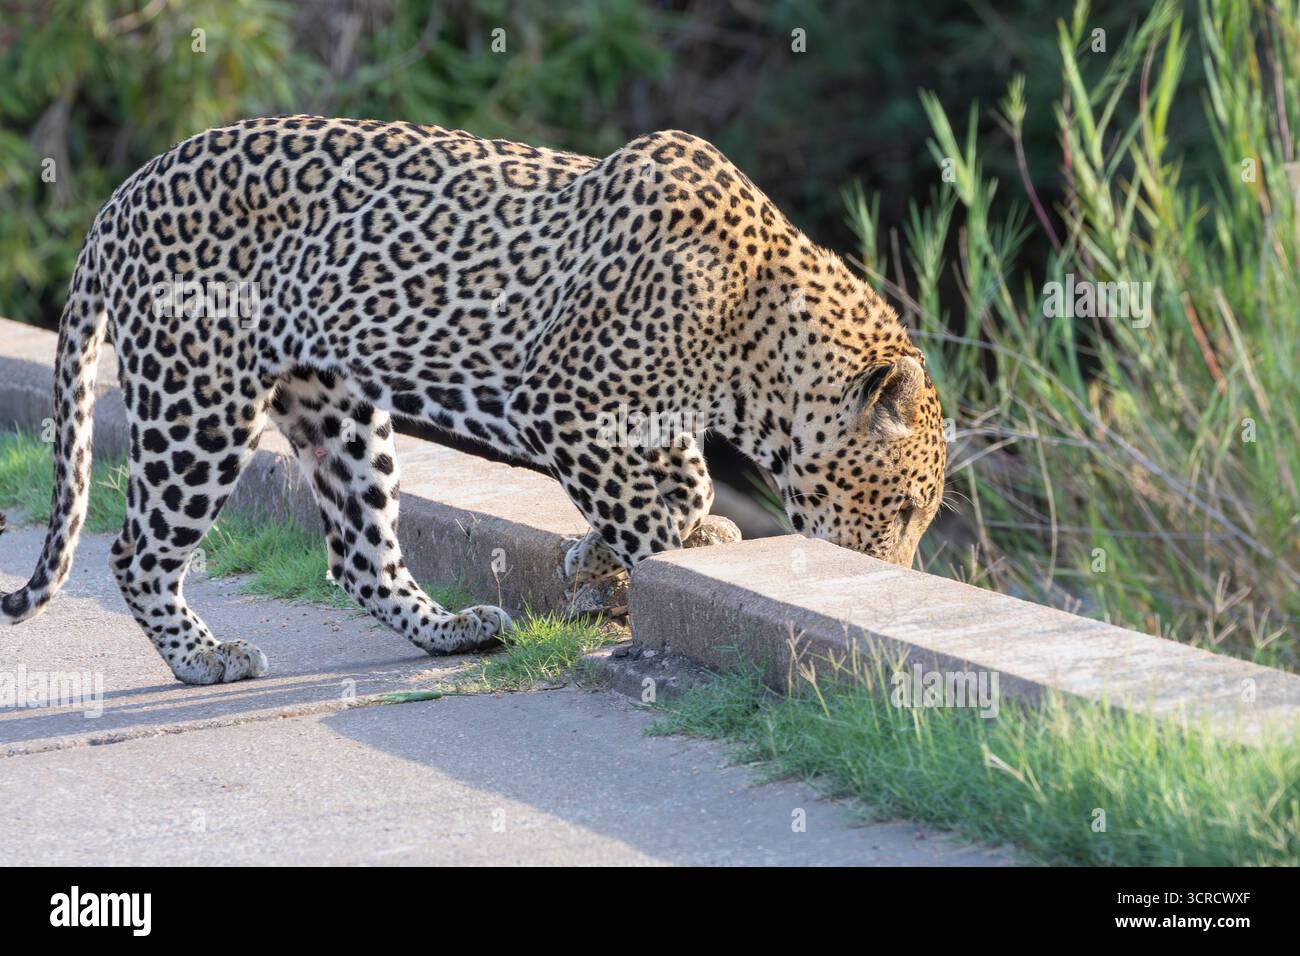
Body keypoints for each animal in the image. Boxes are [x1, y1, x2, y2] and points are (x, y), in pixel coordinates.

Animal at [1, 116, 946, 685]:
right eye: (902, 509)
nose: (897, 571)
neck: (754, 332)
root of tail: (122, 196)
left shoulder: (653, 420)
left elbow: (686, 488)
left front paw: (600, 561)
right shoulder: (562, 403)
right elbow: (649, 513)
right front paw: (633, 567)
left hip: (337, 411)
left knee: (360, 556)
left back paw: (454, 630)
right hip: (196, 401)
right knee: (137, 550)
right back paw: (206, 660)